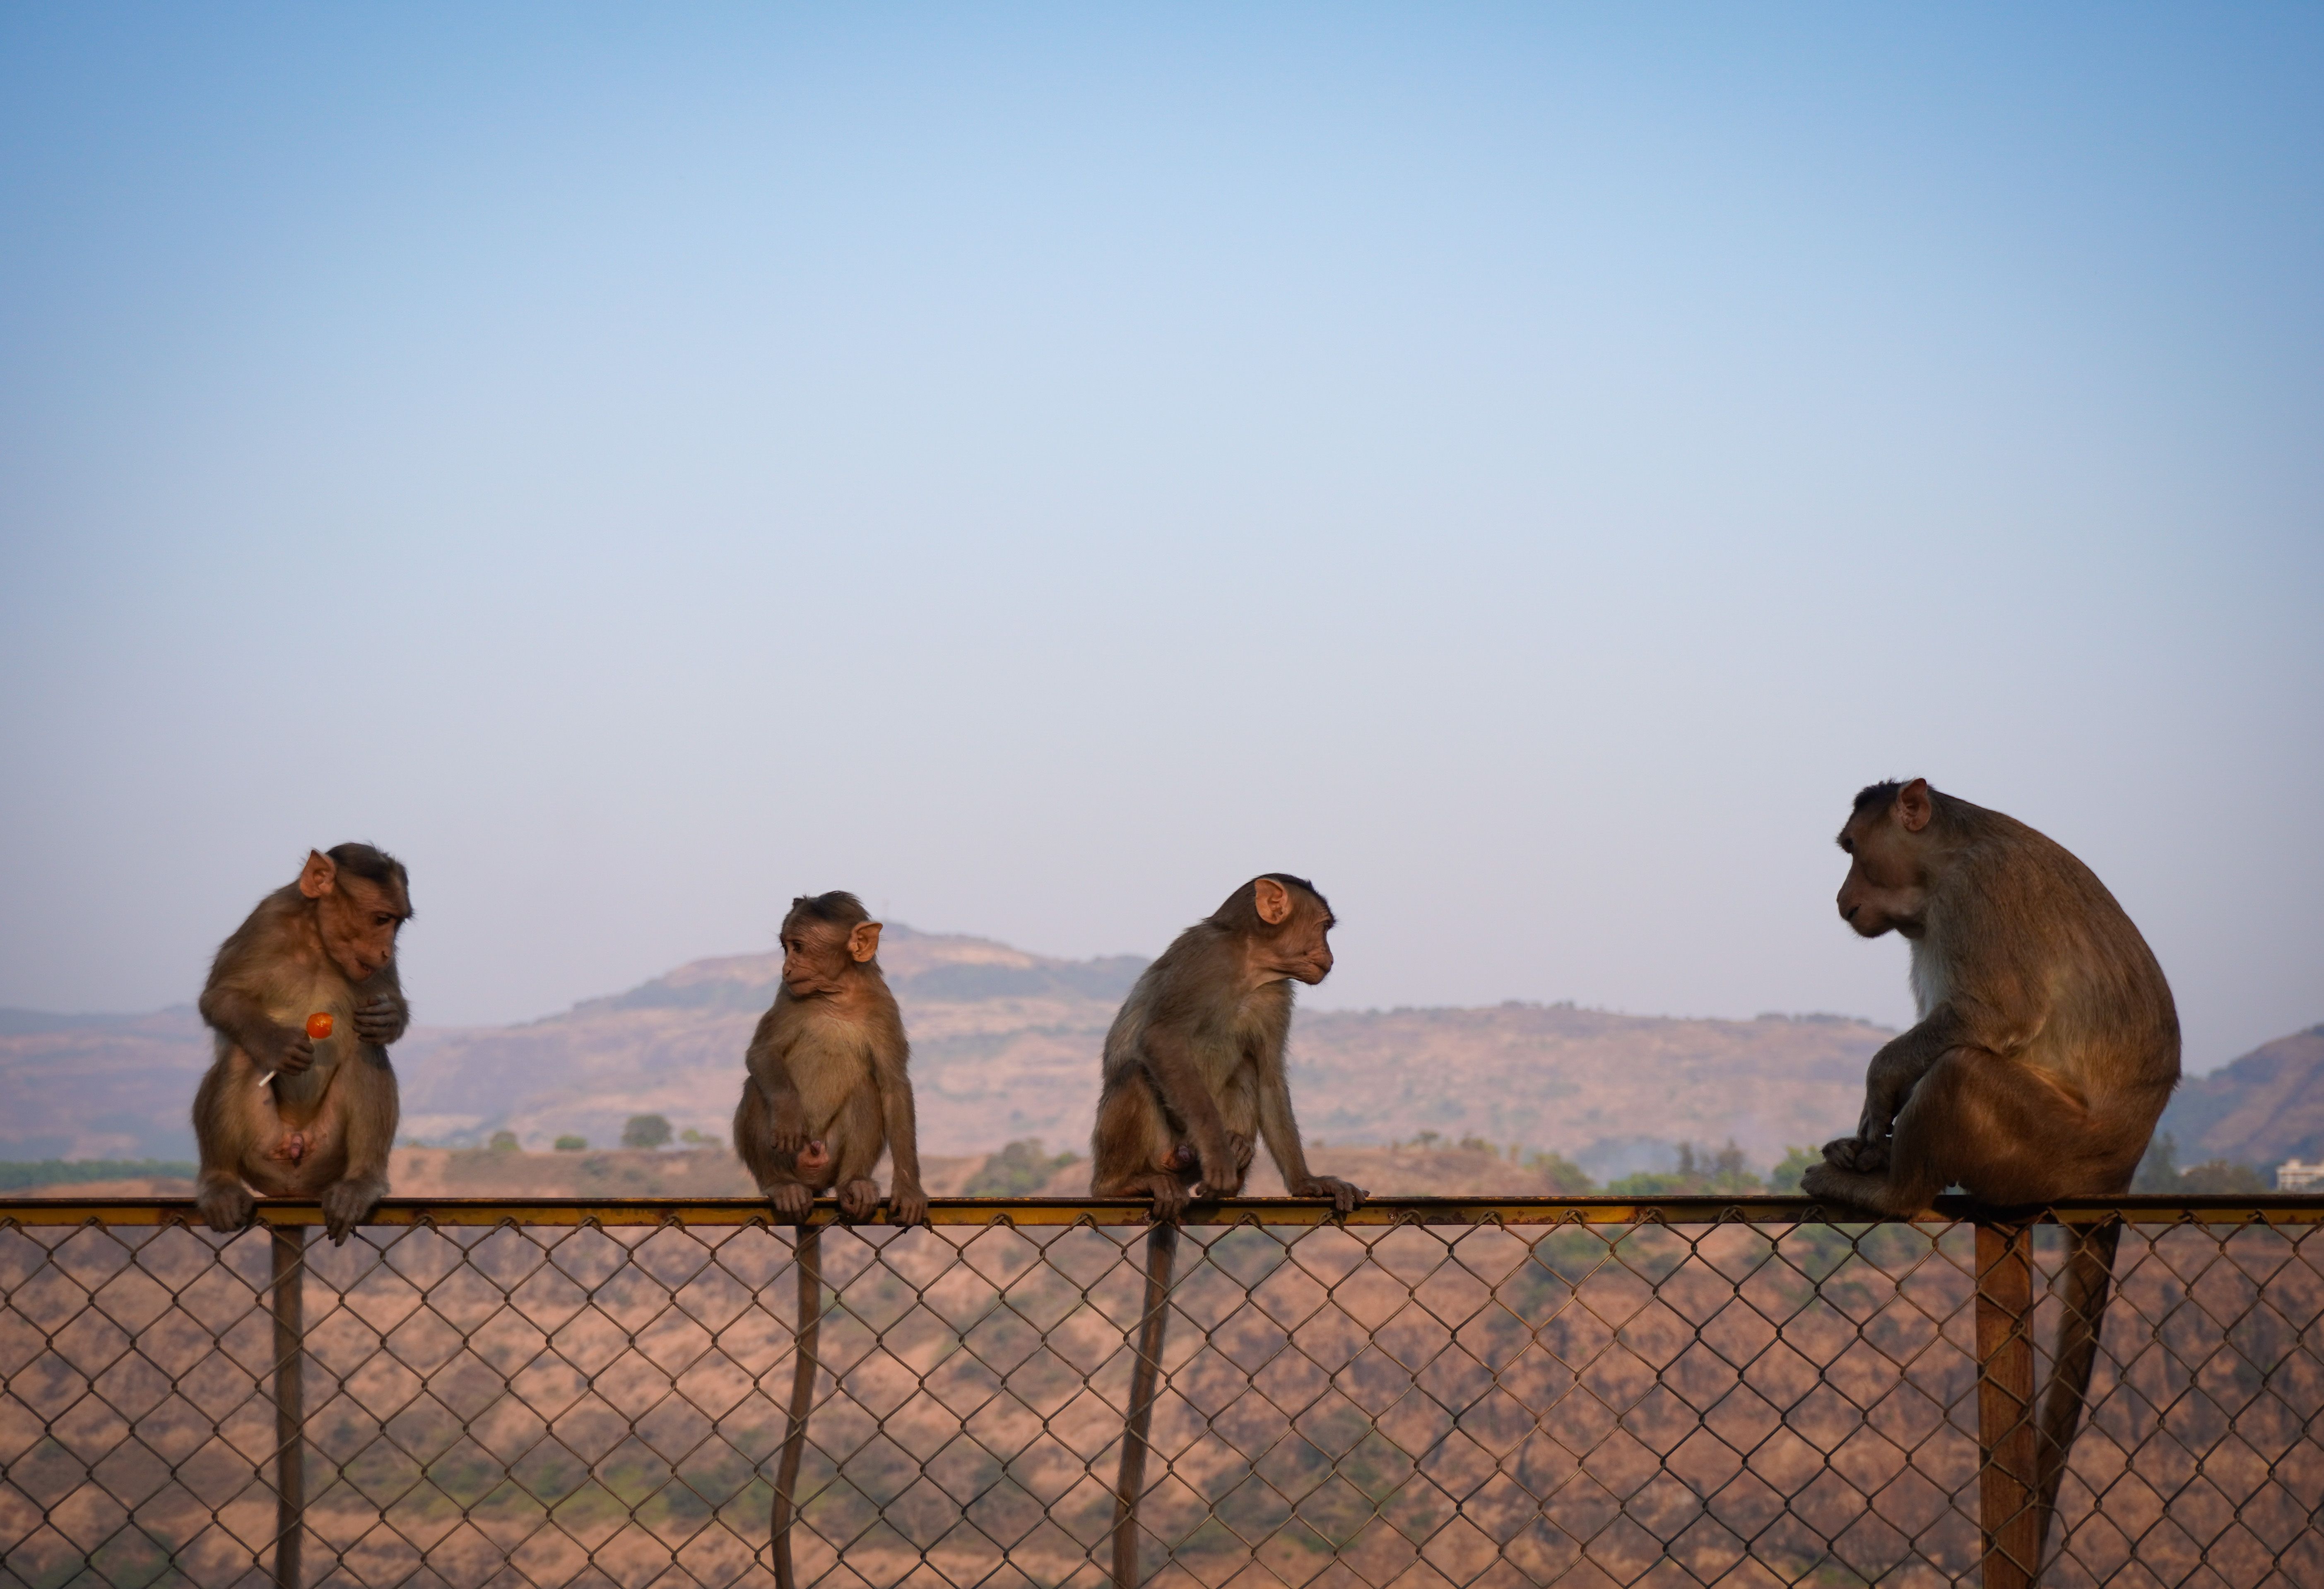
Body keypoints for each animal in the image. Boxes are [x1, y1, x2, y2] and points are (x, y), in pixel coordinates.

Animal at [192, 845, 412, 1245]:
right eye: (381, 919)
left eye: (397, 924)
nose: (388, 951)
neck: (318, 945)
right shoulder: (266, 922)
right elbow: (219, 998)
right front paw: (278, 1044)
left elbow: (386, 1008)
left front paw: (387, 1017)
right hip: (262, 1148)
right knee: (240, 1051)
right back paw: (220, 1182)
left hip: (327, 1152)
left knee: (366, 1048)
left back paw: (362, 1181)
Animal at [731, 890, 927, 1589]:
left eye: (799, 944)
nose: (787, 965)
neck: (837, 994)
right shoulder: (786, 1002)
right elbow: (762, 1058)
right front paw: (789, 1109)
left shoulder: (883, 1007)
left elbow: (893, 1085)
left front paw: (910, 1186)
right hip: (781, 1157)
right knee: (756, 1093)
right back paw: (782, 1184)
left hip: (838, 1151)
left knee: (868, 1089)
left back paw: (857, 1186)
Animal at [1091, 874, 1365, 1589]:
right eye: (1323, 925)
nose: (1330, 955)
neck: (1251, 965)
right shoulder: (1200, 962)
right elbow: (1162, 1040)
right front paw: (1215, 1153)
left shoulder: (1276, 996)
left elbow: (1266, 1075)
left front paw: (1306, 1181)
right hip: (1135, 1142)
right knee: (1138, 1072)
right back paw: (1147, 1177)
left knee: (1241, 1071)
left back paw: (1228, 1166)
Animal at [1801, 779, 2179, 1573]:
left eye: (1851, 848)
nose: (1841, 899)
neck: (1944, 859)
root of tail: (2118, 1171)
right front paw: (1866, 1138)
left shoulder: (1974, 896)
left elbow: (1988, 1014)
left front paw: (1879, 1092)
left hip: (2042, 1151)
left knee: (1961, 1073)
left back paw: (1887, 1188)